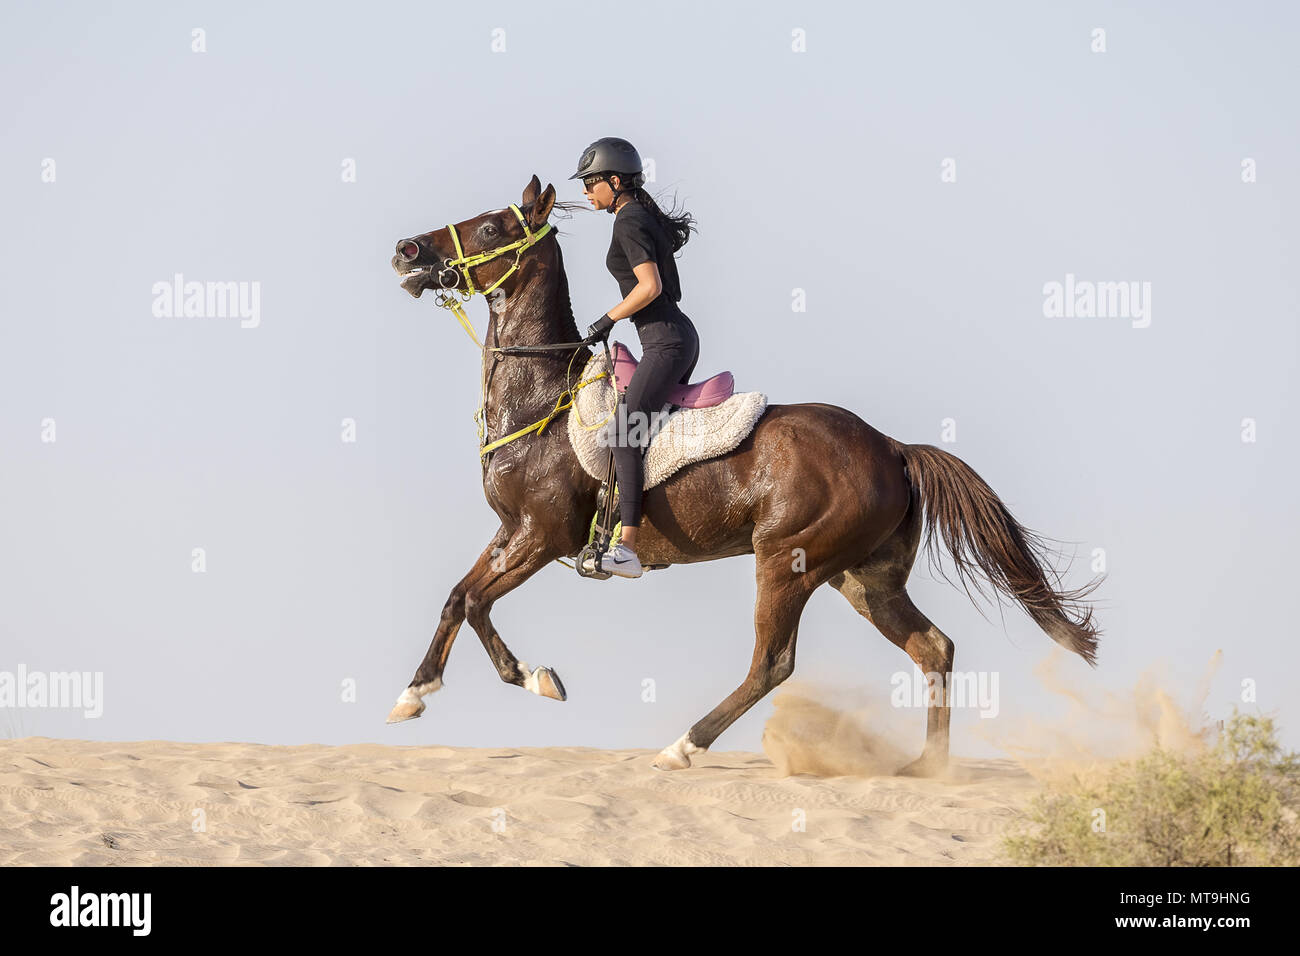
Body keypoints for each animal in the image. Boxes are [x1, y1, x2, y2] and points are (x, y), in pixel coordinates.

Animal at [386, 174, 1102, 774]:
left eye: (489, 227)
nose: (404, 250)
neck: (541, 398)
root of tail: (892, 447)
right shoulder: (512, 531)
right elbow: (458, 596)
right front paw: (414, 693)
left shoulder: (543, 534)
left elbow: (477, 601)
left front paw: (534, 677)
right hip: (862, 576)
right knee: (934, 648)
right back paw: (927, 767)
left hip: (786, 560)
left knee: (772, 664)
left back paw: (682, 746)